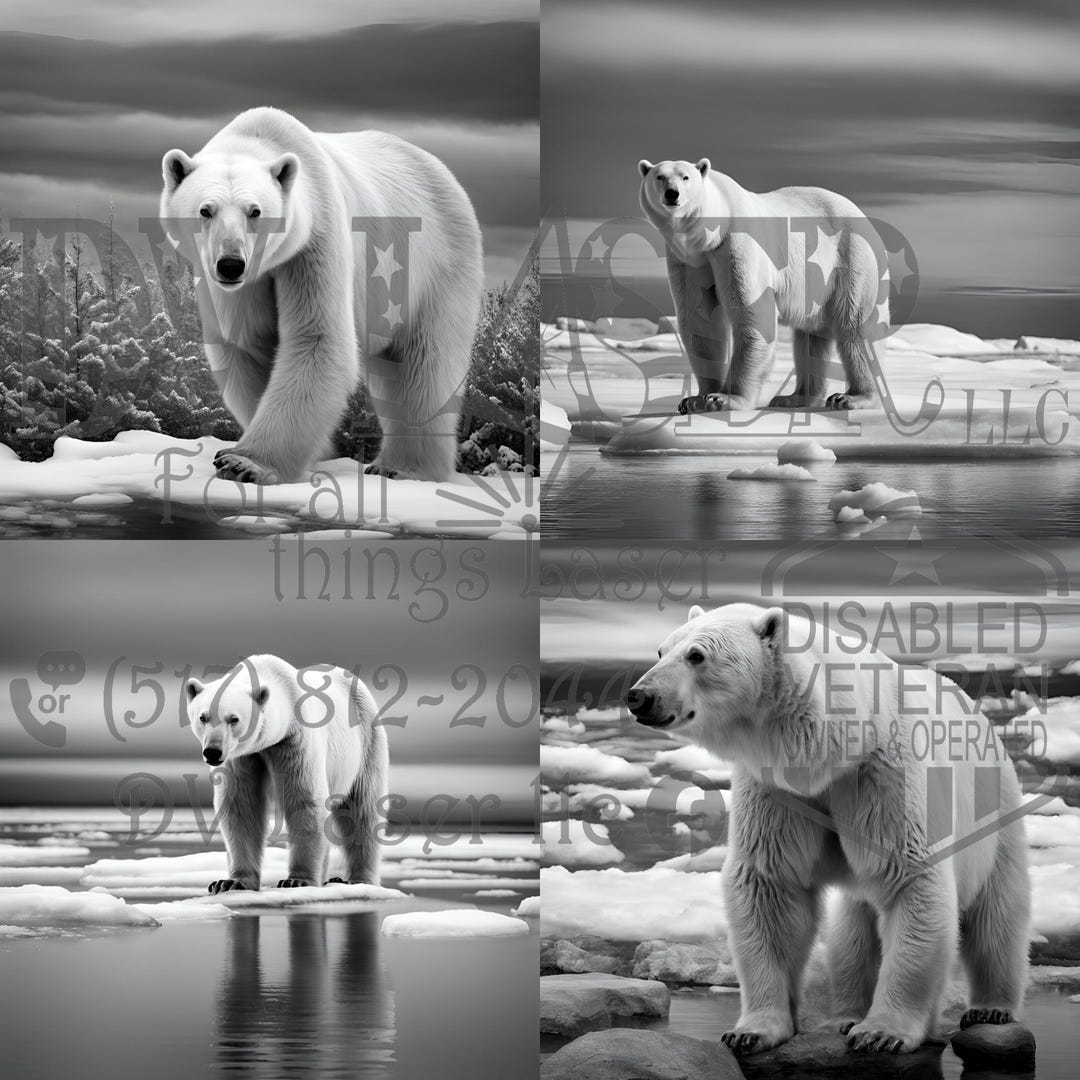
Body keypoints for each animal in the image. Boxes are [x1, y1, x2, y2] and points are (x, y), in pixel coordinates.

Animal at [160, 107, 483, 484]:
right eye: (205, 210)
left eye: (255, 211)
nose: (231, 264)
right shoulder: (237, 287)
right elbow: (247, 344)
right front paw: (319, 453)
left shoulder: (314, 241)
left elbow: (317, 339)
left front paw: (244, 463)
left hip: (435, 267)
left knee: (425, 363)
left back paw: (404, 466)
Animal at [186, 654, 388, 893]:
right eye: (203, 717)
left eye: (233, 719)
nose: (213, 751)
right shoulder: (242, 758)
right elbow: (241, 806)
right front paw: (229, 882)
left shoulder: (295, 740)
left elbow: (304, 800)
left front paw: (297, 880)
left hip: (366, 744)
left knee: (363, 810)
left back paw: (358, 879)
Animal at [627, 603, 1030, 1056]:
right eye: (661, 650)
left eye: (696, 655)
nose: (640, 696)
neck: (828, 750)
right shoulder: (776, 789)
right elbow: (770, 883)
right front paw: (751, 1031)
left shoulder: (881, 775)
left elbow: (911, 877)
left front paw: (881, 1033)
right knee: (852, 930)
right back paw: (846, 1014)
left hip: (996, 808)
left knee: (997, 914)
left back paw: (991, 1007)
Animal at [637, 159, 888, 415]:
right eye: (659, 177)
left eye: (685, 177)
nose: (672, 193)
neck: (711, 232)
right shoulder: (689, 260)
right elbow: (701, 322)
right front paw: (694, 400)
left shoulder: (736, 244)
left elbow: (753, 313)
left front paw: (724, 398)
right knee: (811, 334)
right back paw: (795, 397)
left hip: (851, 257)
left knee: (856, 326)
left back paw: (852, 397)